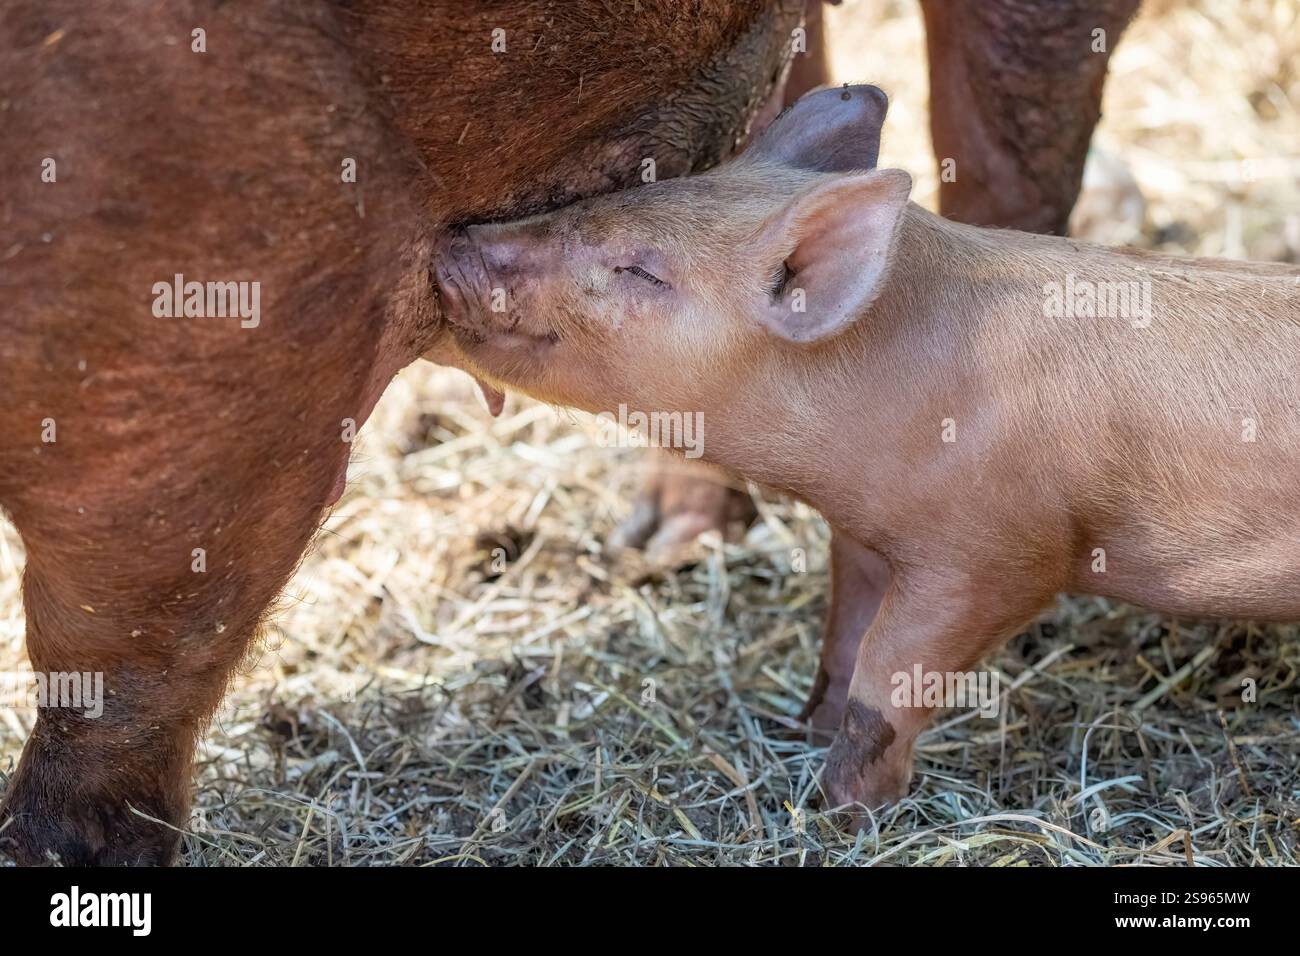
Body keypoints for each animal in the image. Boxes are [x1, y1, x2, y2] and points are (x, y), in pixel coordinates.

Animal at [429, 84, 1300, 813]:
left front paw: (842, 808)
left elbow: (889, 674)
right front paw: (801, 730)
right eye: (629, 193)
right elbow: (844, 637)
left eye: (641, 270)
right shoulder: (866, 533)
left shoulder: (999, 551)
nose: (452, 244)